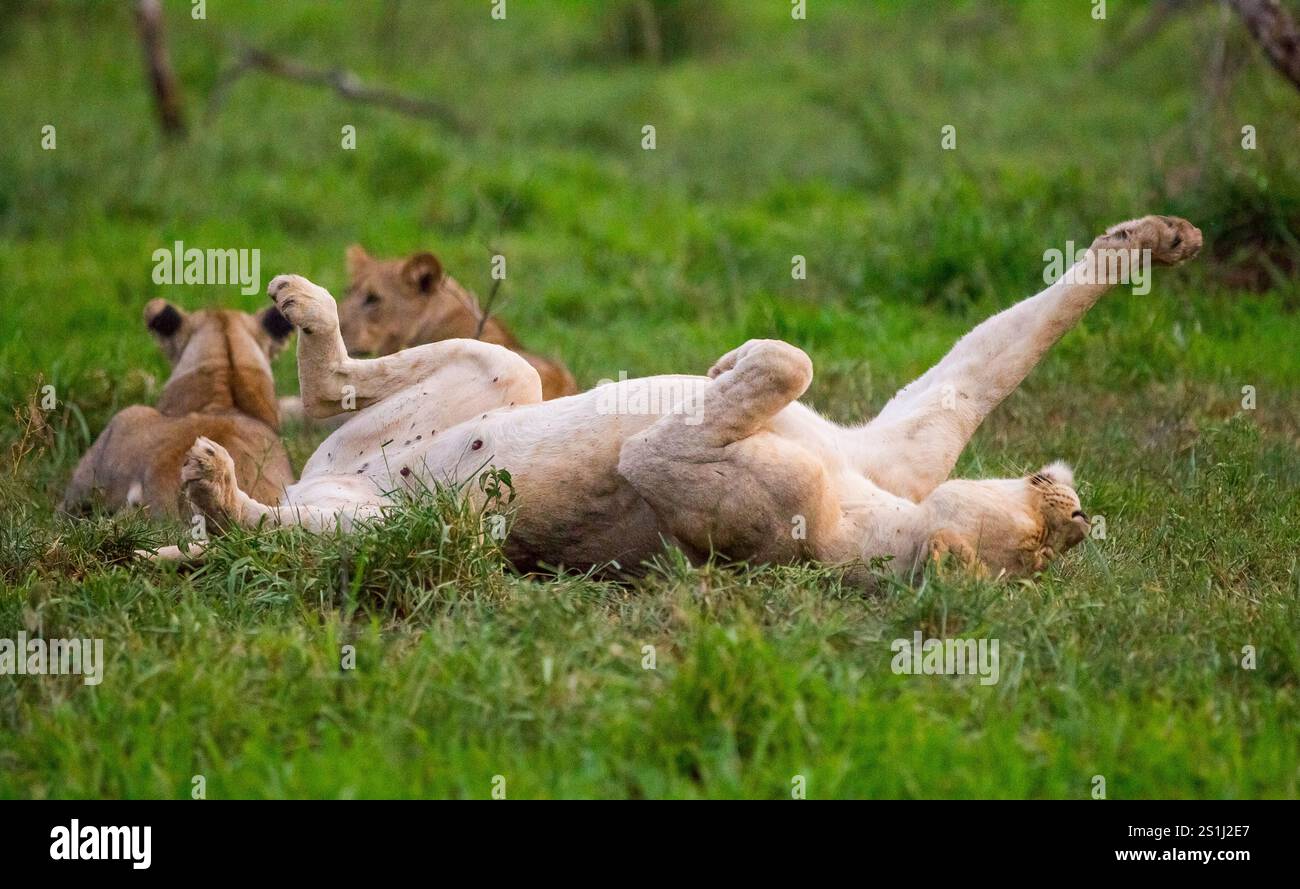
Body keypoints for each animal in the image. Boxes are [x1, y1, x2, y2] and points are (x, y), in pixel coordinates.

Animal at [161, 216, 1200, 583]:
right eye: (1055, 517)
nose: (1072, 508)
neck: (874, 512)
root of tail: (315, 485)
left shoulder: (689, 477)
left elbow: (783, 366)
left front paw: (741, 357)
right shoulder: (902, 448)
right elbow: (991, 355)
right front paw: (1154, 239)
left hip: (409, 529)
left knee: (270, 534)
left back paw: (214, 484)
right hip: (502, 377)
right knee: (334, 385)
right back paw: (303, 307)